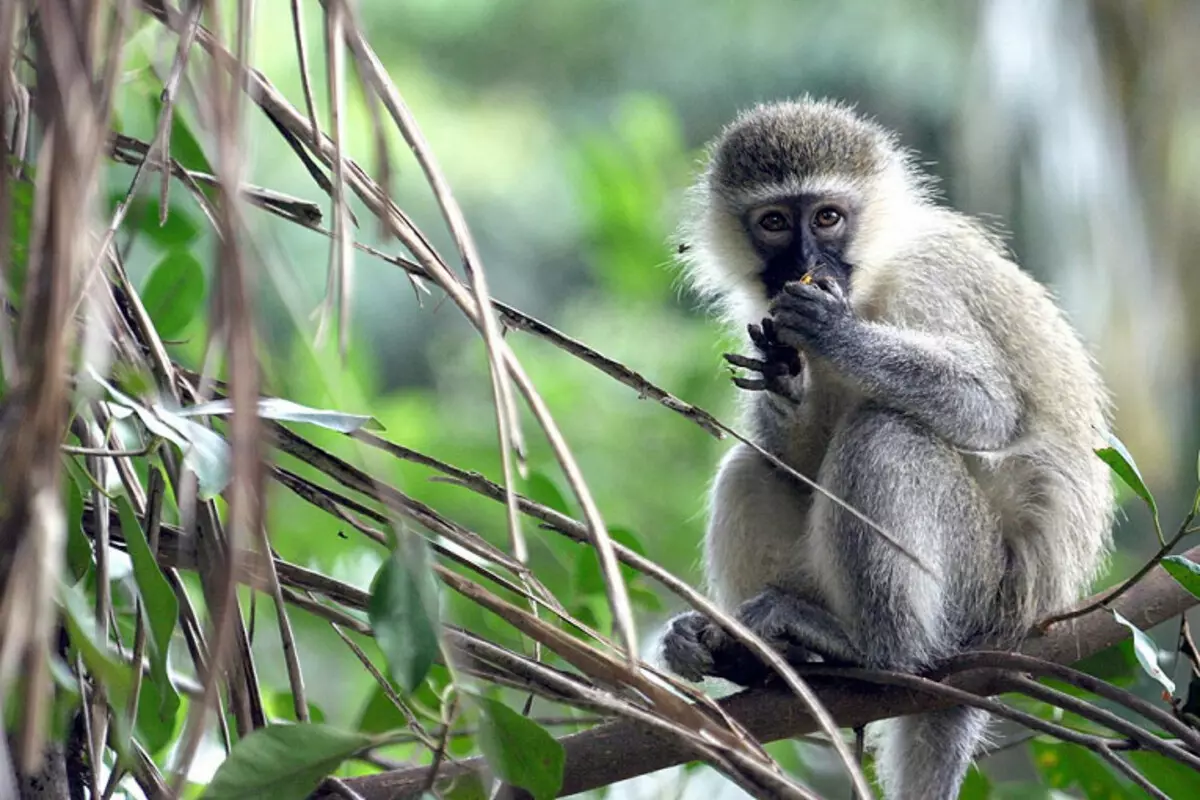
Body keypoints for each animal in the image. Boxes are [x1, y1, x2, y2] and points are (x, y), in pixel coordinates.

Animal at [662, 98, 1108, 800]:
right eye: (773, 222)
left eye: (827, 216)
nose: (805, 260)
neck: (870, 282)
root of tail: (1021, 623)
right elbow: (796, 463)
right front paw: (785, 377)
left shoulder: (926, 281)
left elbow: (988, 407)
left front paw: (833, 332)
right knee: (752, 467)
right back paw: (758, 659)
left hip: (978, 587)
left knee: (886, 434)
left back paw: (876, 651)